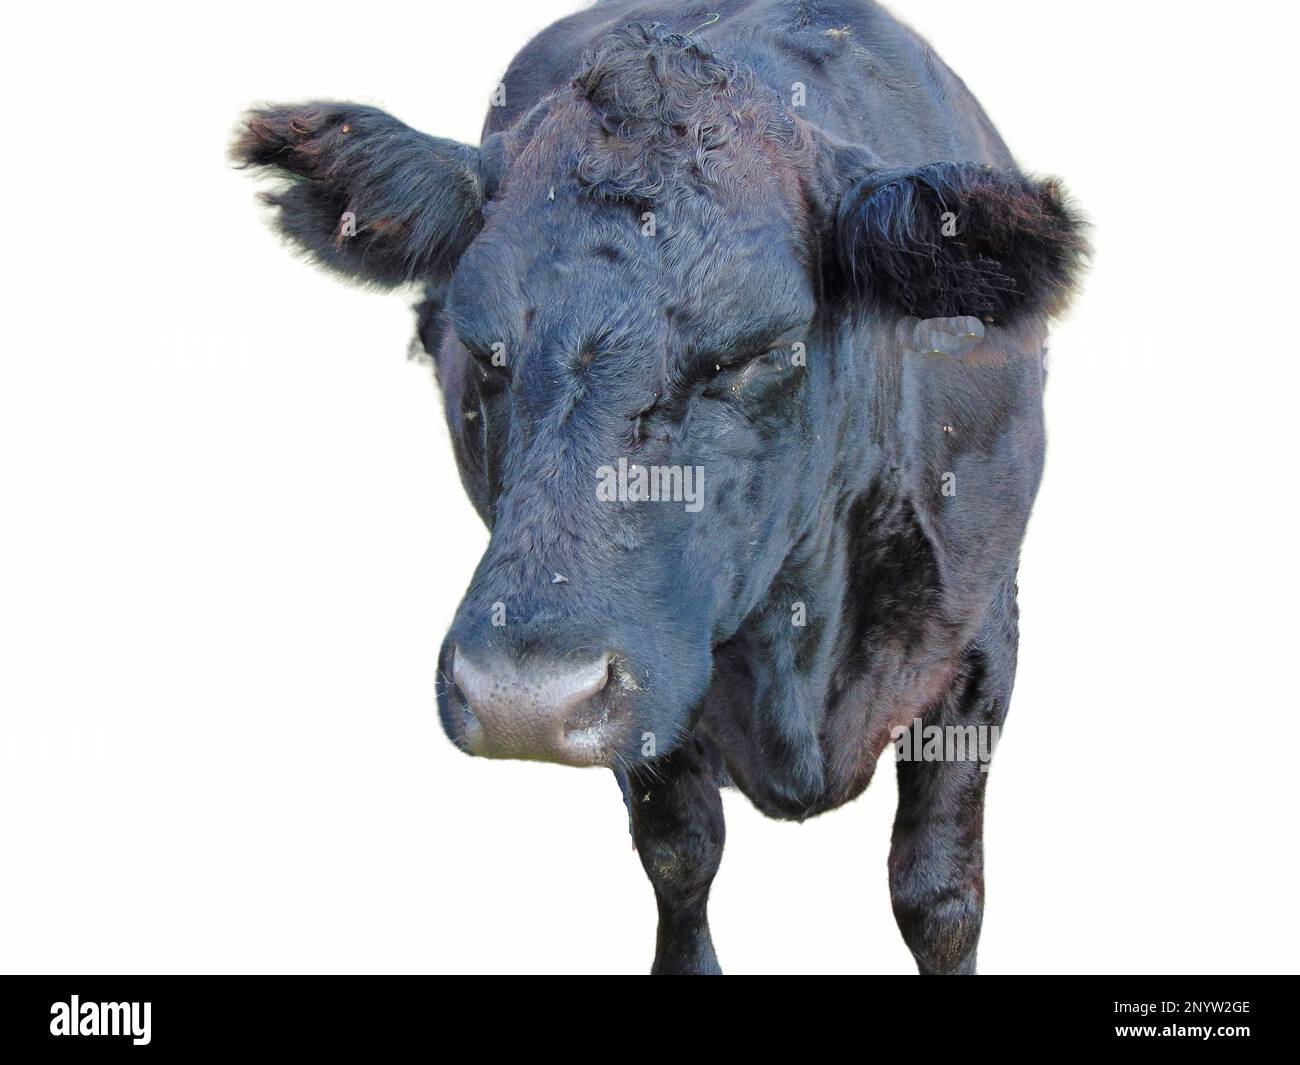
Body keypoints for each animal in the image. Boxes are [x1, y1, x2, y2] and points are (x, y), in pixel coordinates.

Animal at [232, 0, 1087, 974]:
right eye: (483, 345)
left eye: (759, 350)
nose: (523, 698)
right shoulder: (657, 677)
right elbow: (680, 852)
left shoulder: (981, 635)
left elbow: (939, 898)